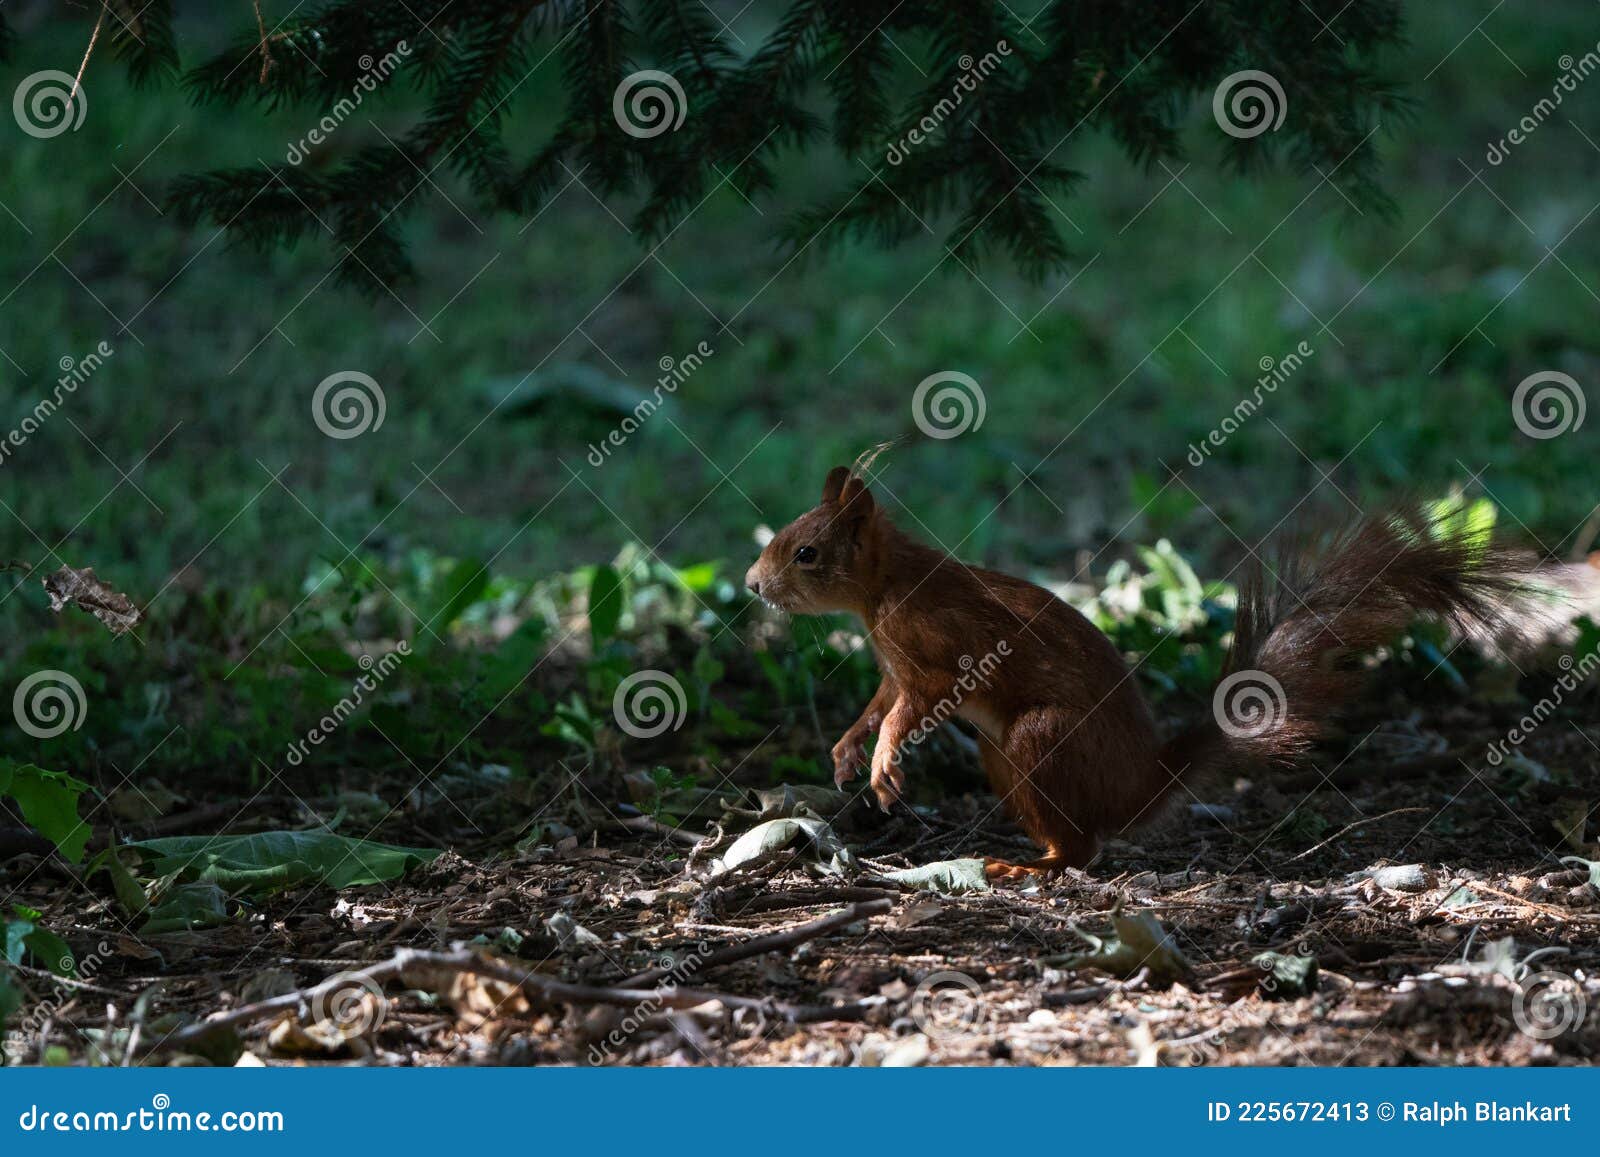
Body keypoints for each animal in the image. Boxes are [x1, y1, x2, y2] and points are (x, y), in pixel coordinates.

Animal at [744, 464, 1528, 880]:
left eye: (807, 552)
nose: (753, 585)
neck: (883, 587)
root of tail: (1143, 785)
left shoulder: (936, 652)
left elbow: (918, 703)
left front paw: (882, 764)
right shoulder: (893, 668)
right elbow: (881, 701)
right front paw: (850, 748)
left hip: (1040, 739)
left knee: (1084, 847)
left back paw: (1036, 864)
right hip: (1004, 754)